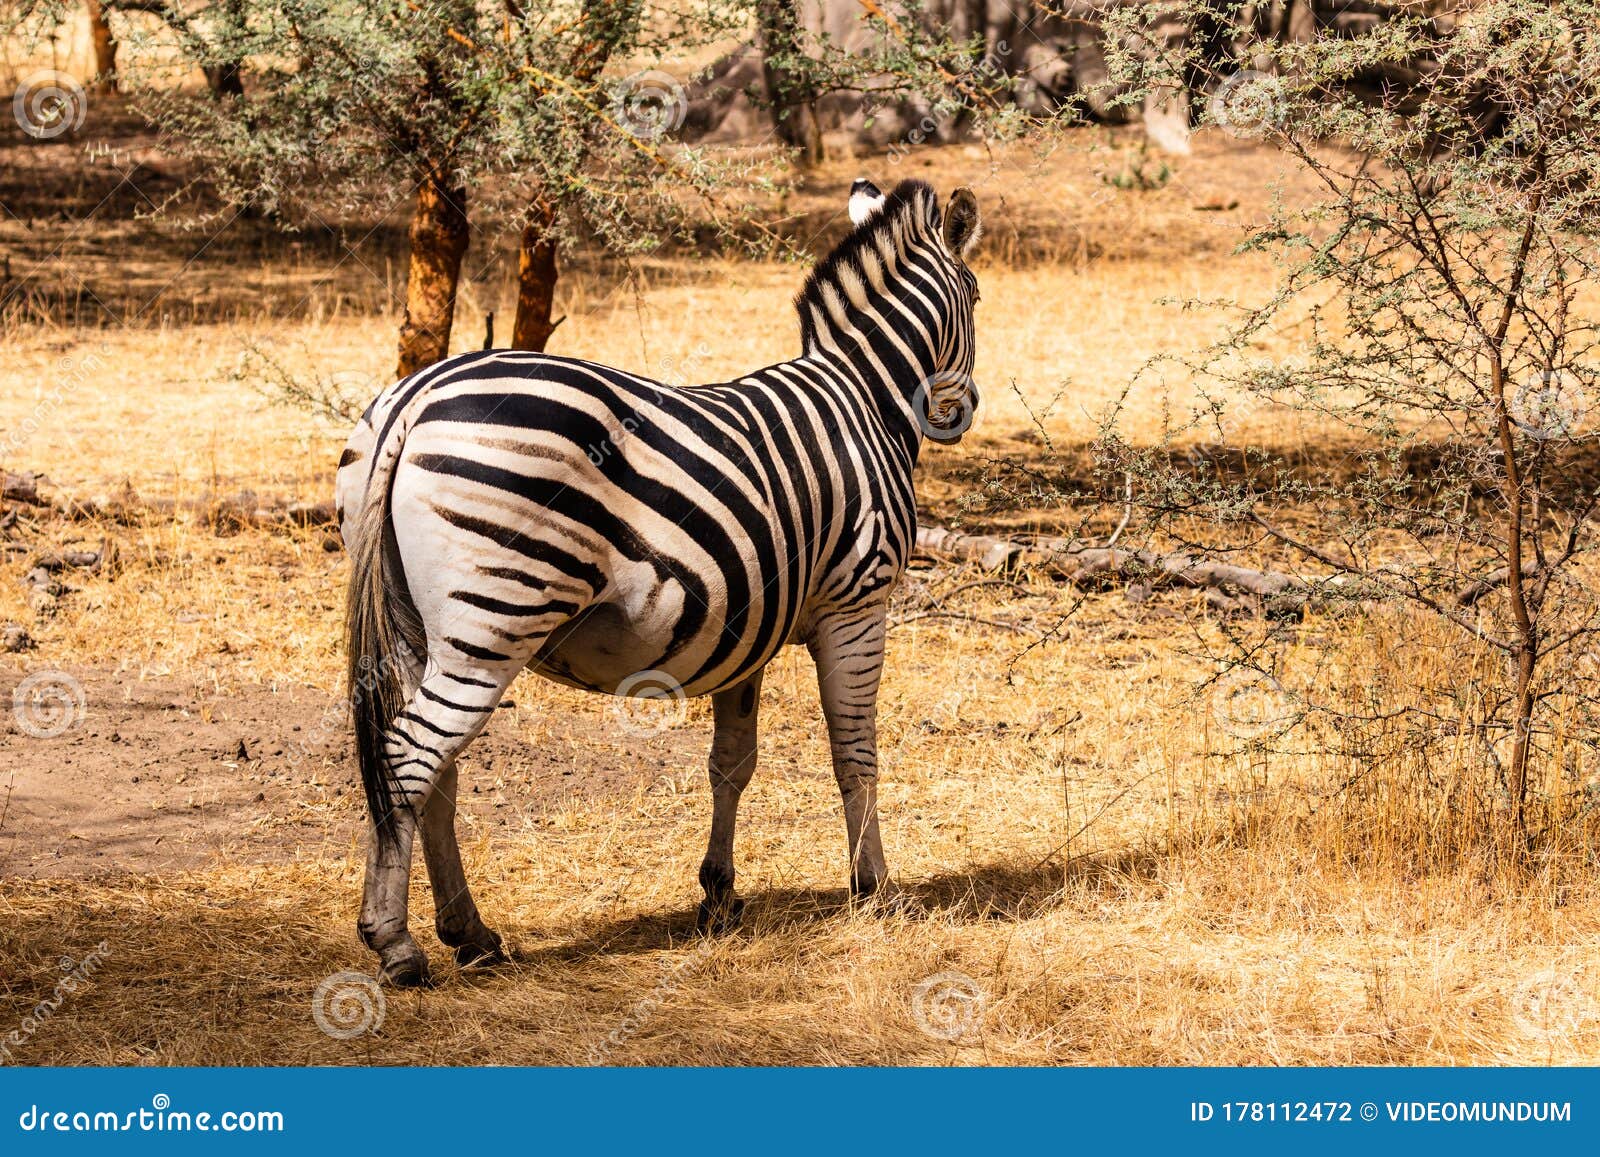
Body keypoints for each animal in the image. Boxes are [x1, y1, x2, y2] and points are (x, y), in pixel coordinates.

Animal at [336, 177, 982, 986]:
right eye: (978, 297)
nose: (963, 412)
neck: (864, 396)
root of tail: (415, 398)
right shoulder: (857, 603)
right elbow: (855, 752)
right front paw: (875, 889)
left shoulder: (753, 622)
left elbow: (732, 763)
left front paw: (719, 895)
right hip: (495, 615)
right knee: (408, 757)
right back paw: (395, 942)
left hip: (418, 627)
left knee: (434, 772)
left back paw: (471, 933)